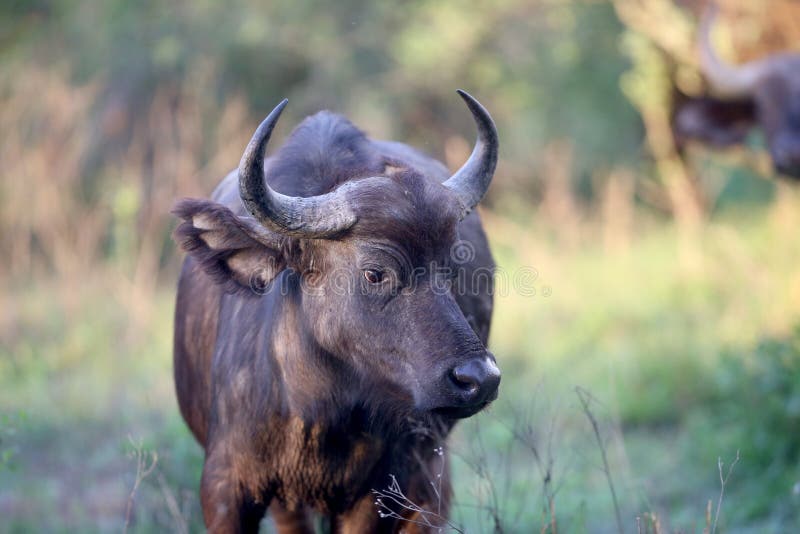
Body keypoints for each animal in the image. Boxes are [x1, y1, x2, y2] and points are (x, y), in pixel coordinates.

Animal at [172, 91, 501, 532]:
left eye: (451, 268)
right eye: (375, 273)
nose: (480, 379)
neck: (316, 409)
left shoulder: (376, 495)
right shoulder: (225, 487)